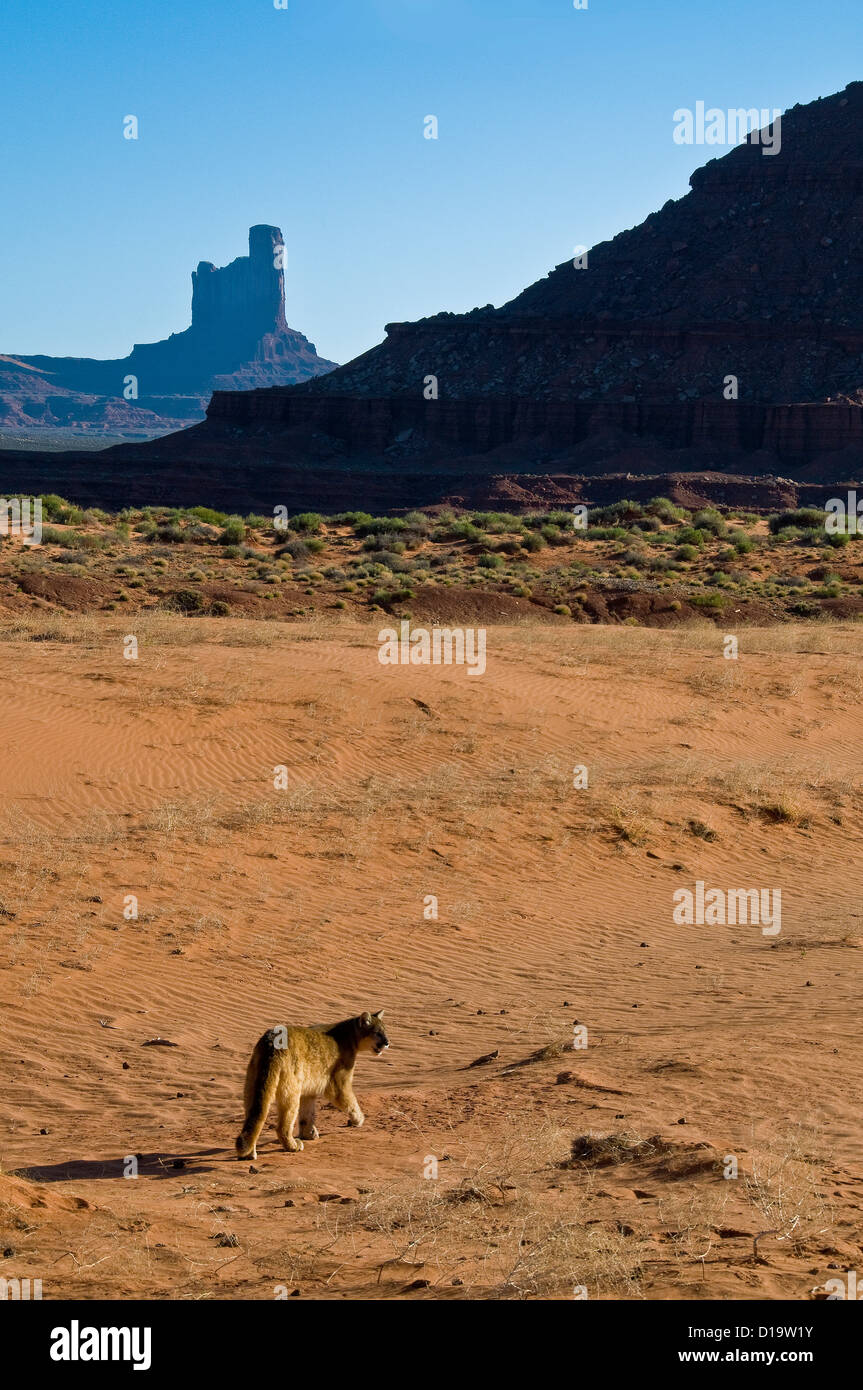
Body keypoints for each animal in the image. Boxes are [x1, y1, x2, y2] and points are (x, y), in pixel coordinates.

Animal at [235, 1010, 389, 1159]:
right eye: (377, 1032)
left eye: (385, 1031)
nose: (387, 1042)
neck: (351, 1036)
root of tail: (272, 1043)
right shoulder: (339, 1084)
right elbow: (351, 1102)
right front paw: (359, 1120)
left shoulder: (309, 1089)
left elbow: (307, 1113)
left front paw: (309, 1133)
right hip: (291, 1091)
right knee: (282, 1127)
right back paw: (293, 1146)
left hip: (252, 1087)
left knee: (254, 1117)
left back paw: (249, 1154)